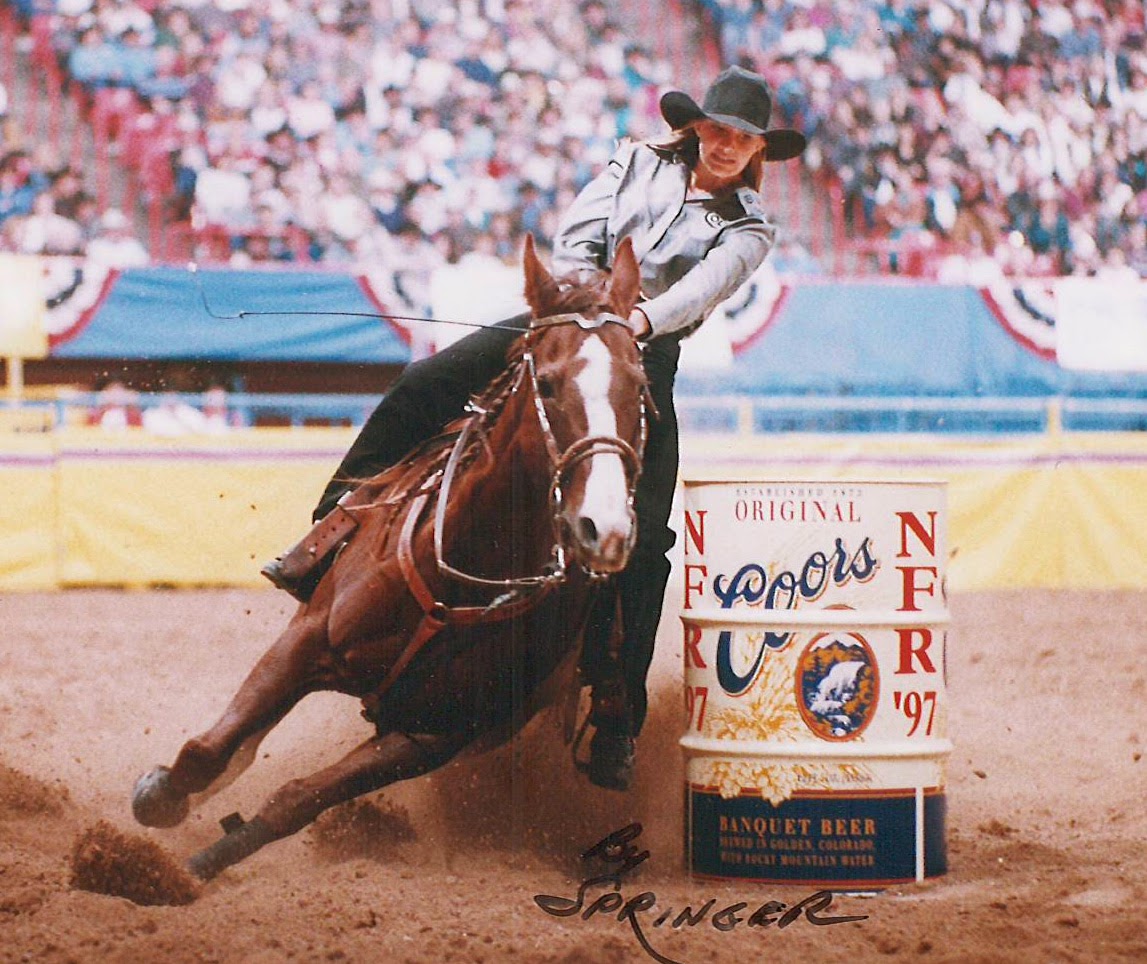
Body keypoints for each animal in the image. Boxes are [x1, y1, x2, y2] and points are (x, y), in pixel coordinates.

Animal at [131, 235, 650, 882]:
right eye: (549, 384)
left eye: (639, 386)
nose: (603, 527)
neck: (466, 572)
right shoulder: (307, 640)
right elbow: (210, 751)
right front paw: (158, 800)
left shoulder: (429, 736)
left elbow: (295, 800)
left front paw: (192, 867)